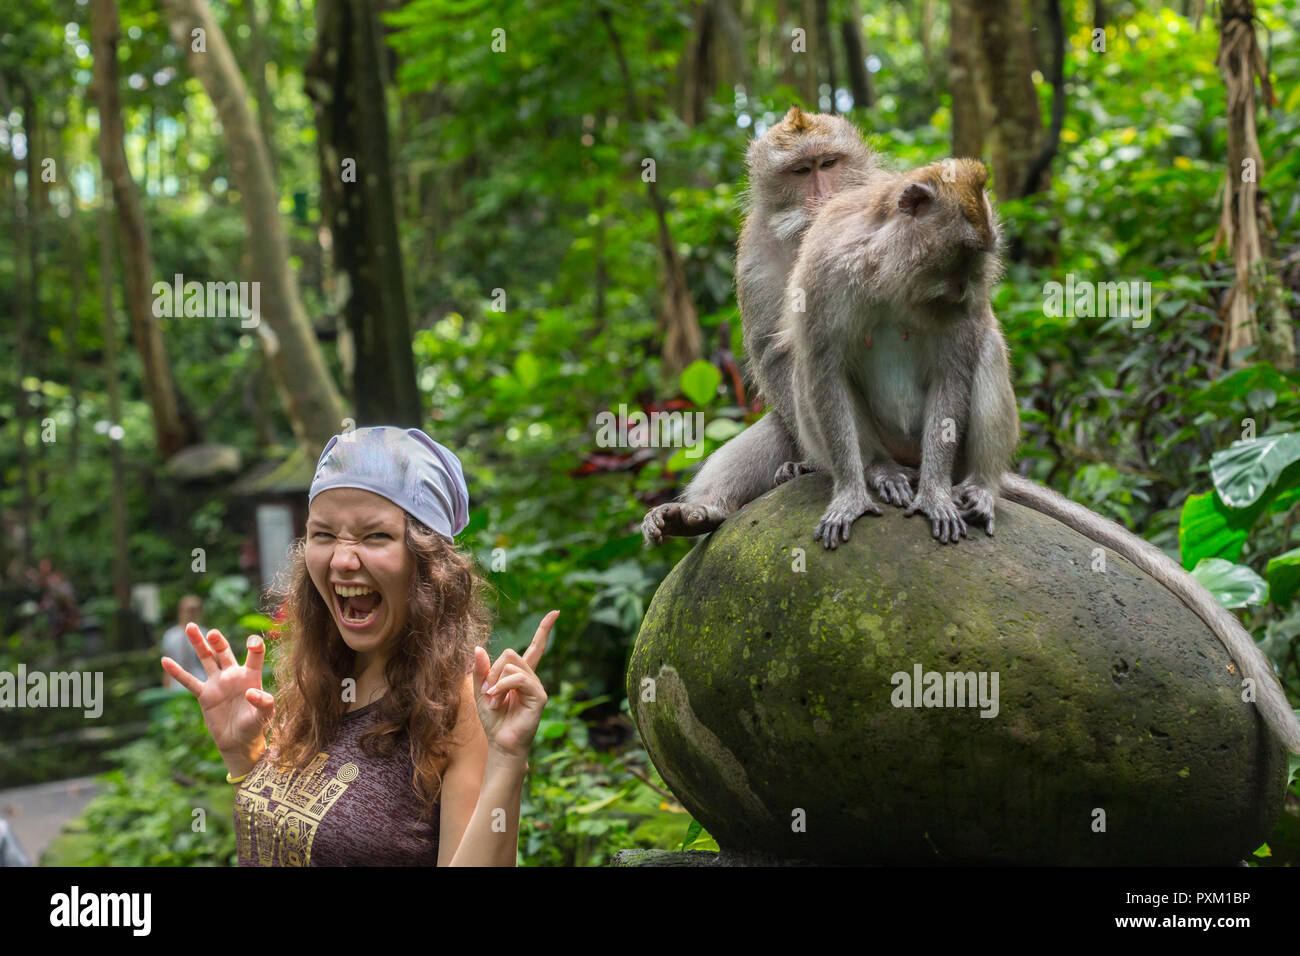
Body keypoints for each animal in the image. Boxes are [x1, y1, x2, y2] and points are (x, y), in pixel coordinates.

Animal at [642, 105, 880, 547]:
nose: (823, 197)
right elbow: (773, 349)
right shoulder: (754, 248)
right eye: (802, 171)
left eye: (829, 163)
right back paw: (701, 512)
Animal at [775, 157, 1300, 754]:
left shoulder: (958, 313)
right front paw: (849, 492)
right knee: (808, 370)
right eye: (960, 250)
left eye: (981, 256)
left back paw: (976, 486)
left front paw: (935, 496)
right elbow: (823, 366)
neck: (886, 272)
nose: (965, 288)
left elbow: (957, 366)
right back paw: (881, 472)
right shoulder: (824, 275)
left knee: (985, 346)